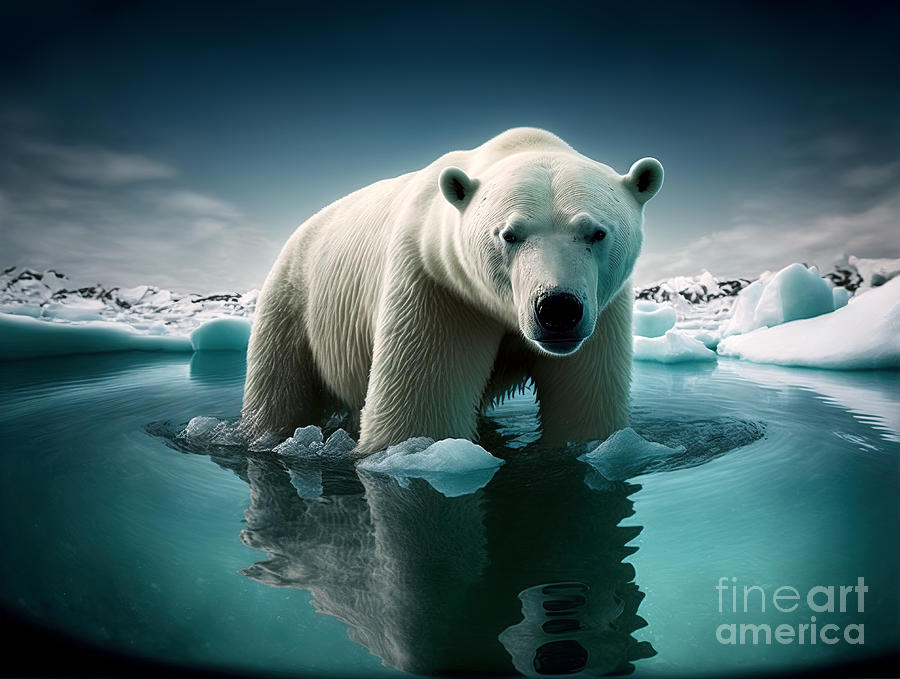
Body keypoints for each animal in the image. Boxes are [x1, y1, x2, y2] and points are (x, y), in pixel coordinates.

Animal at [241, 128, 663, 455]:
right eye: (508, 234)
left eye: (596, 232)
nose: (558, 308)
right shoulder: (437, 287)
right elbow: (418, 420)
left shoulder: (603, 313)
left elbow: (588, 409)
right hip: (293, 298)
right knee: (279, 387)